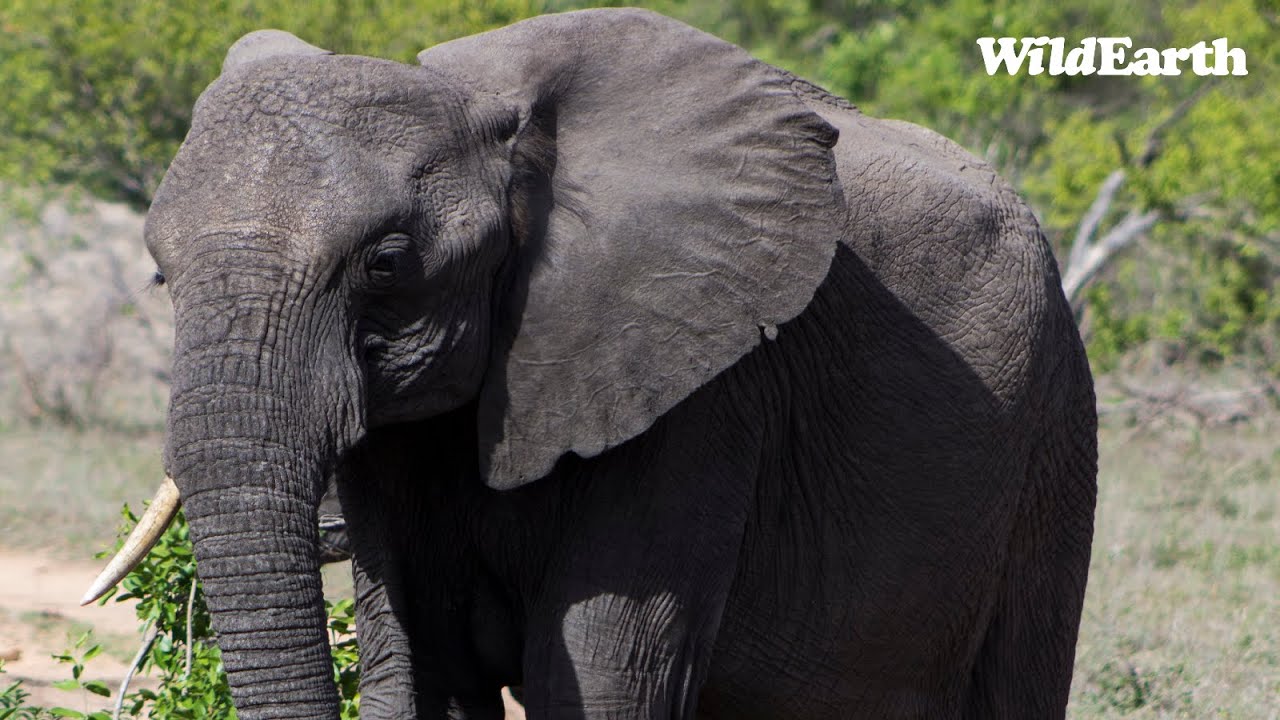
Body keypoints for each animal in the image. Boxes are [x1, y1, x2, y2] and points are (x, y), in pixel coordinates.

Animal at [83, 8, 1097, 720]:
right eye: (160, 271)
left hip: (1053, 438)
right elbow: (419, 670)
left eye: (387, 263)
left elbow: (604, 682)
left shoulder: (703, 390)